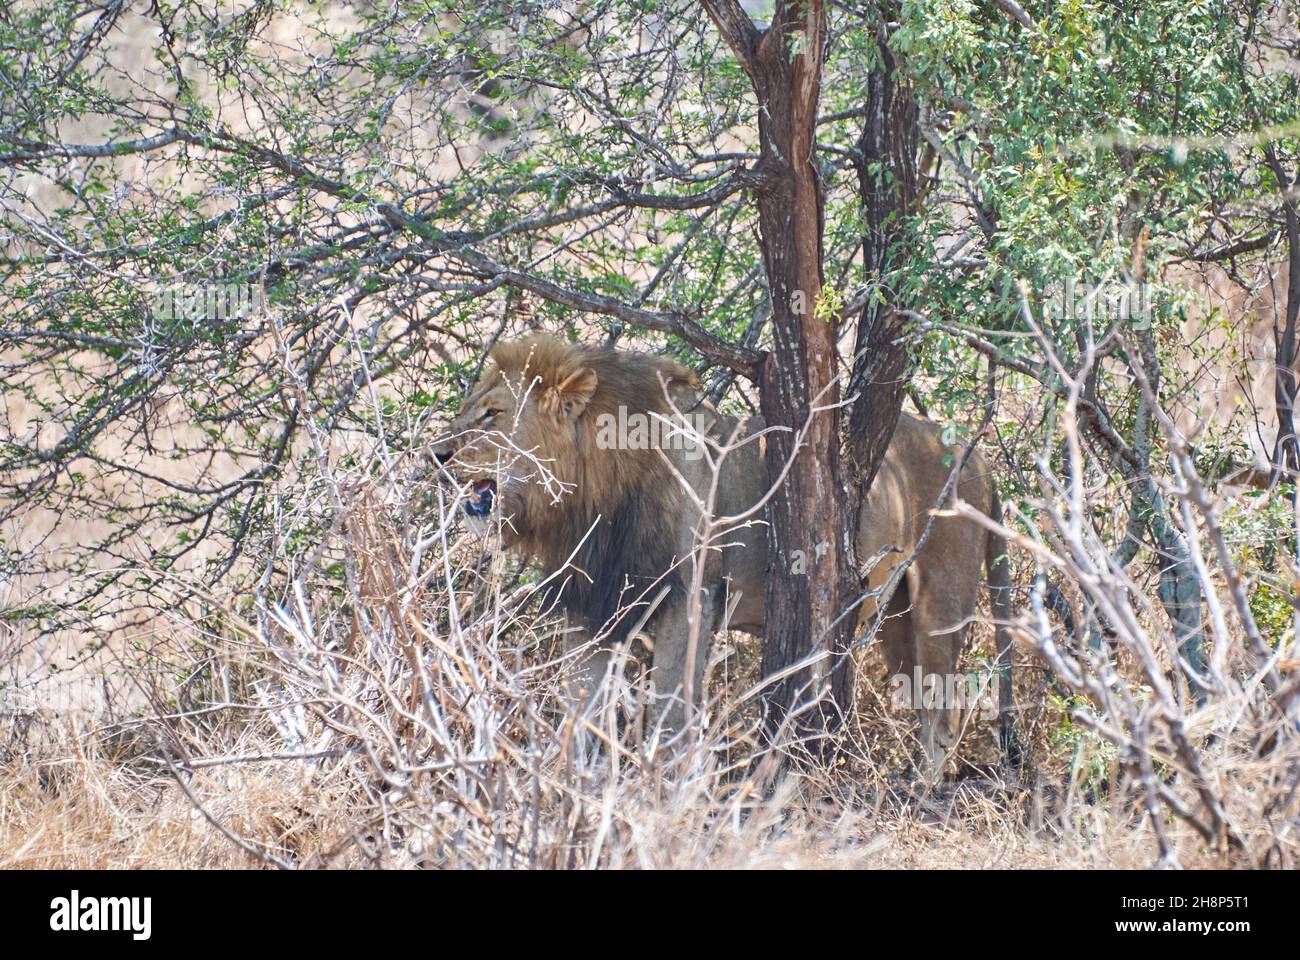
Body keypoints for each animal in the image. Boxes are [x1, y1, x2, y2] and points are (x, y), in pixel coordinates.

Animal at [431, 334, 1013, 769]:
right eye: (468, 409)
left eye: (492, 414)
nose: (436, 453)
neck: (594, 492)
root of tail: (975, 452)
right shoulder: (593, 603)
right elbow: (583, 711)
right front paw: (576, 792)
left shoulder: (689, 598)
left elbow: (669, 713)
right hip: (894, 616)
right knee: (917, 694)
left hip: (941, 605)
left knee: (943, 711)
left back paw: (921, 790)